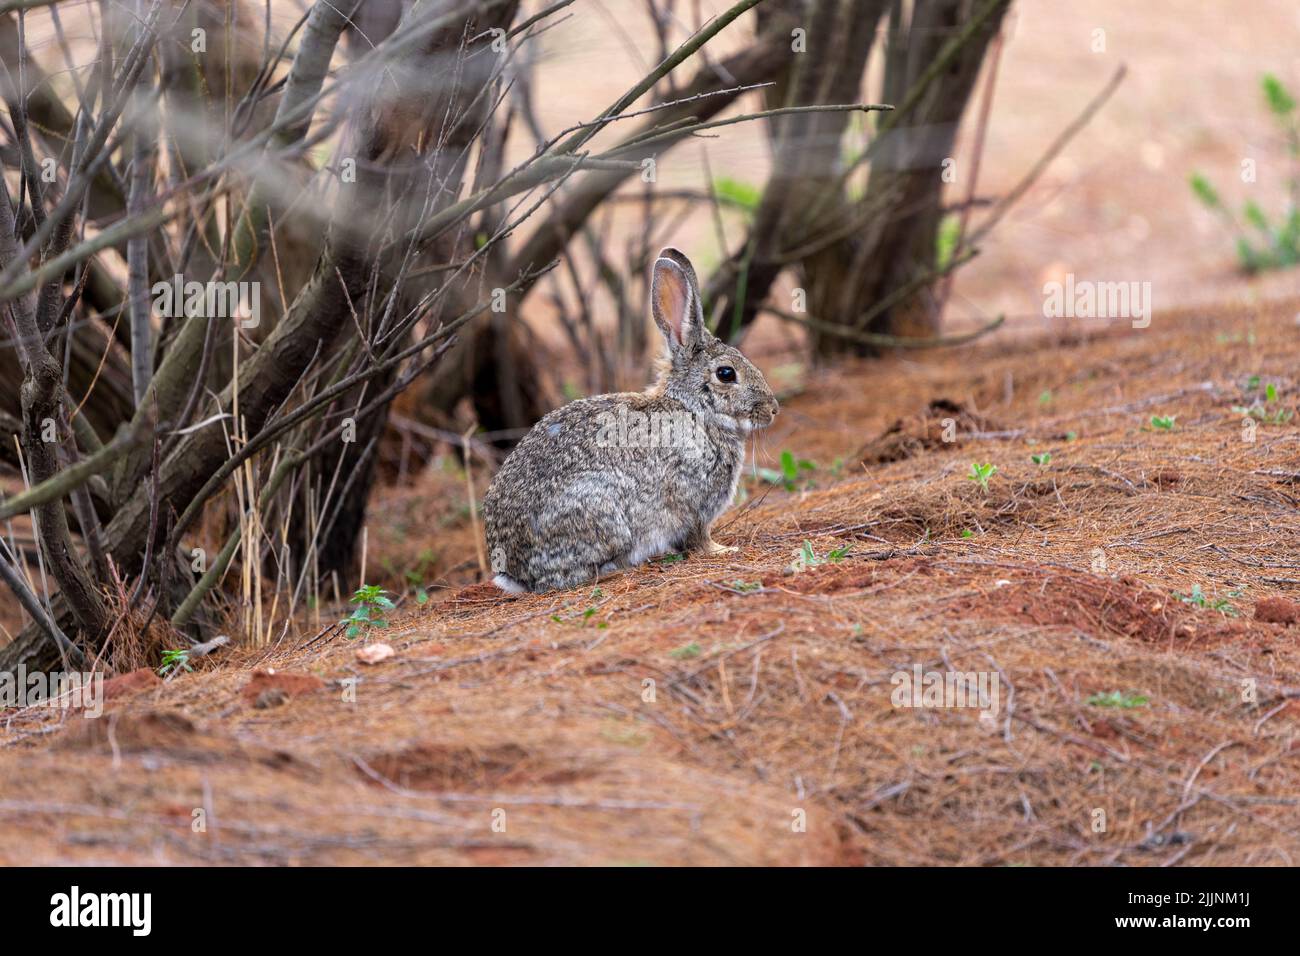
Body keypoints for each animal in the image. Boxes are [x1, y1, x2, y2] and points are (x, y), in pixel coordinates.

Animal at [483, 247, 779, 593]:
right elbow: (697, 537)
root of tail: (512, 570)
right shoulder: (692, 504)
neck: (694, 409)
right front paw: (722, 550)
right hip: (602, 513)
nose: (773, 409)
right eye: (726, 374)